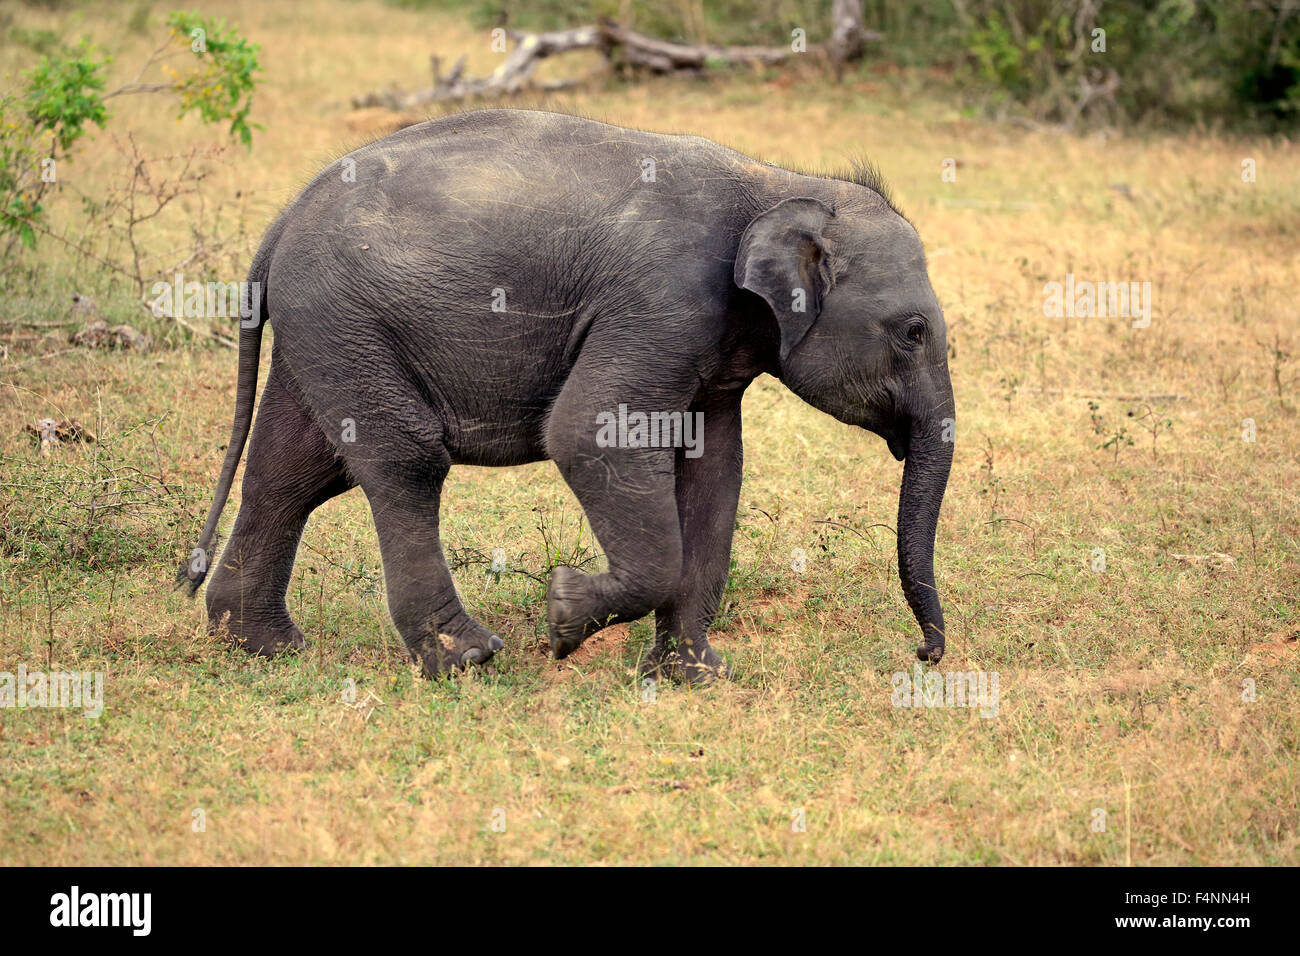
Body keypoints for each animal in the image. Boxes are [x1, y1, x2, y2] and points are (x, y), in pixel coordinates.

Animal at [178, 108, 955, 683]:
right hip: (346, 320)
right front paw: (562, 616)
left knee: (293, 471)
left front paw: (694, 678)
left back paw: (263, 646)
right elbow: (586, 433)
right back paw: (467, 657)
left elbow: (714, 479)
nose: (924, 653)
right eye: (914, 332)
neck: (776, 183)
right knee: (403, 460)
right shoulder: (660, 304)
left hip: (323, 332)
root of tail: (279, 225)